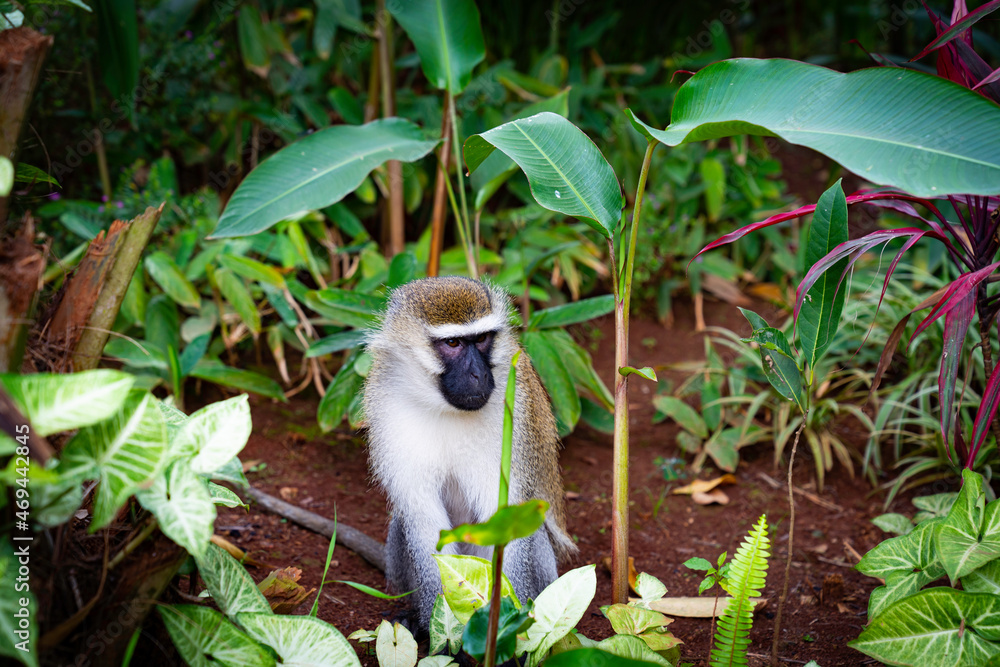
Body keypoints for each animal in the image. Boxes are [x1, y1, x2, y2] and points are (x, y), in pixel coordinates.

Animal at [364, 276, 577, 629]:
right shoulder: (388, 404)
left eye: (481, 339)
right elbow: (423, 521)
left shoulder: (514, 407)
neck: (444, 408)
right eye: (453, 344)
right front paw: (439, 631)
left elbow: (506, 517)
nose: (478, 374)